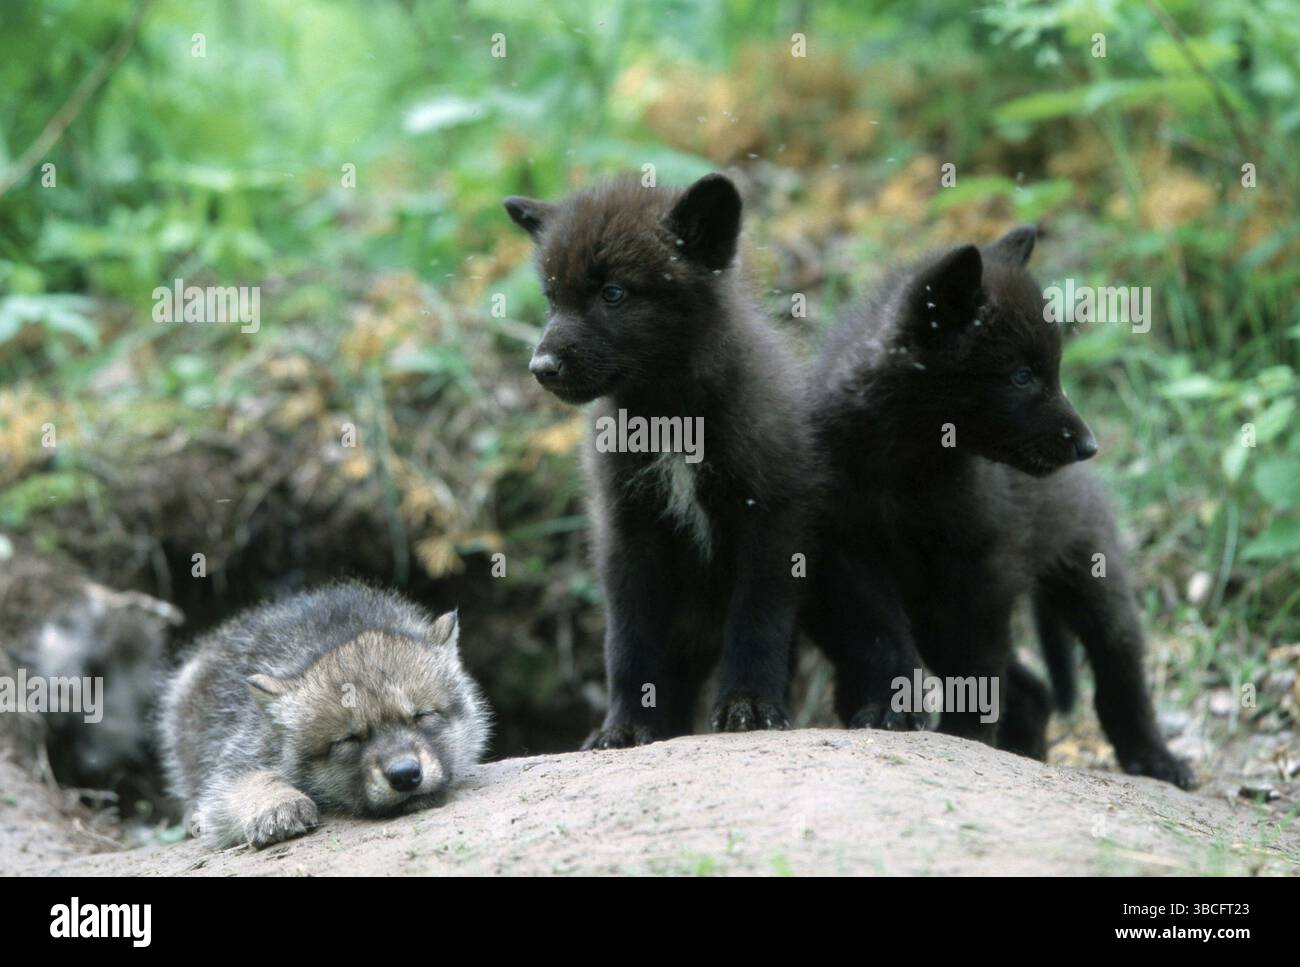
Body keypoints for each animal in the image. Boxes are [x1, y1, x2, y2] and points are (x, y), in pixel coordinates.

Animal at [158, 582, 490, 848]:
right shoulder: (239, 759)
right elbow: (253, 779)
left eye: (421, 716)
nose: (405, 775)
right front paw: (278, 804)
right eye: (349, 740)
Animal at [505, 174, 815, 748]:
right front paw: (626, 725)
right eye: (552, 298)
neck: (671, 421)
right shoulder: (628, 531)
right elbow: (628, 644)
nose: (541, 367)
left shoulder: (771, 519)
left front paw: (749, 703)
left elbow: (758, 621)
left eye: (613, 293)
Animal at [807, 226, 1193, 787]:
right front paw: (889, 712)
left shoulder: (982, 566)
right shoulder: (848, 557)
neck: (907, 465)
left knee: (1119, 670)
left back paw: (1155, 758)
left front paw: (967, 735)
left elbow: (976, 661)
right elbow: (879, 640)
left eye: (1053, 372)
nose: (1089, 445)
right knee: (1033, 691)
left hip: (1089, 571)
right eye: (1021, 376)